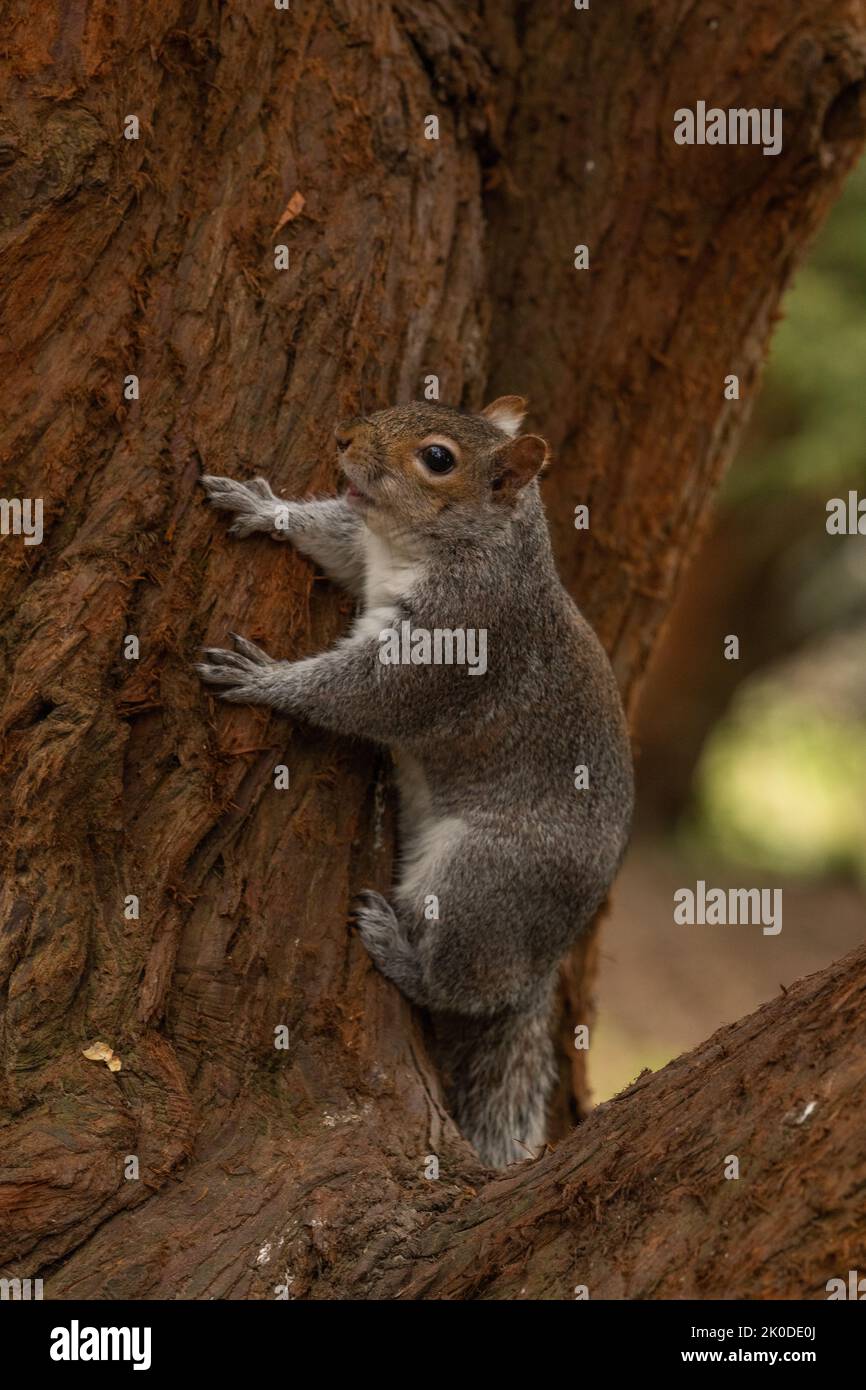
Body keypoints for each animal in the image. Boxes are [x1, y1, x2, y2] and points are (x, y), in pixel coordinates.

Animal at [197, 397, 634, 1168]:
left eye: (437, 459)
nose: (342, 437)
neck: (440, 549)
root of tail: (545, 953)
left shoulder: (454, 642)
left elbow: (365, 697)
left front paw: (267, 680)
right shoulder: (365, 556)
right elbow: (335, 540)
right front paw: (264, 506)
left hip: (484, 876)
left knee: (458, 986)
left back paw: (398, 952)